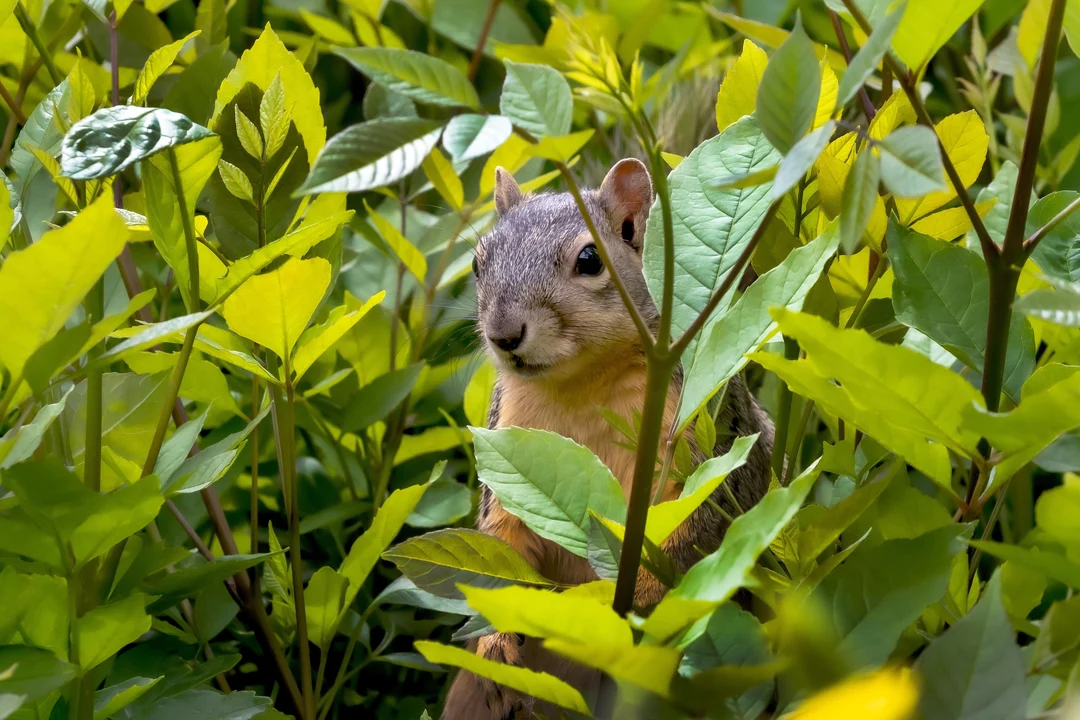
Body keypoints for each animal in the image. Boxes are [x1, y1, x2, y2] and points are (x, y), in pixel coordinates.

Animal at [442, 159, 774, 720]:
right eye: (477, 264)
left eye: (590, 259)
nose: (504, 335)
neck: (582, 383)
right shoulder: (507, 444)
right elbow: (504, 537)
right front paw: (496, 644)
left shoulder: (694, 439)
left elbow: (691, 521)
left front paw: (635, 605)